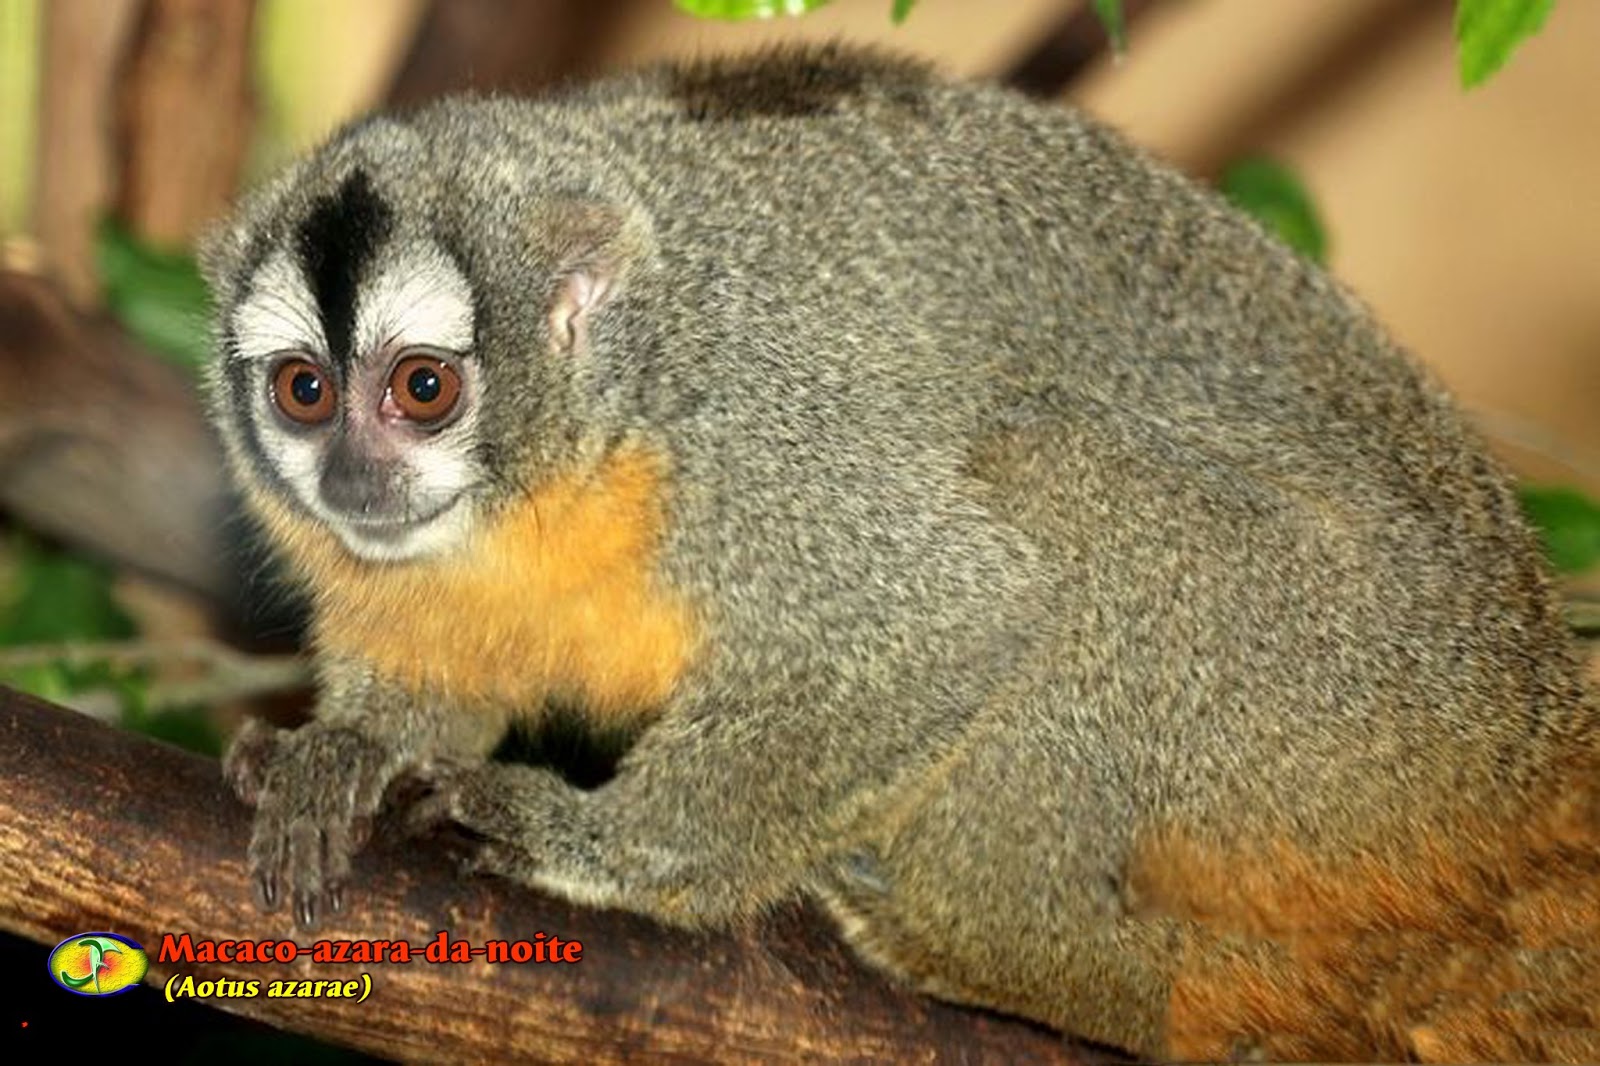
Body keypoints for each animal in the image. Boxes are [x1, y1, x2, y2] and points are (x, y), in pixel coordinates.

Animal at [201, 46, 1599, 1062]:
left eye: (424, 388)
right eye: (306, 391)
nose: (352, 477)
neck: (562, 466)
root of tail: (1525, 732)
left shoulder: (758, 424)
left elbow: (961, 613)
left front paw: (602, 852)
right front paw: (345, 756)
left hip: (1355, 716)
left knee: (1066, 491)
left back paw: (1022, 956)